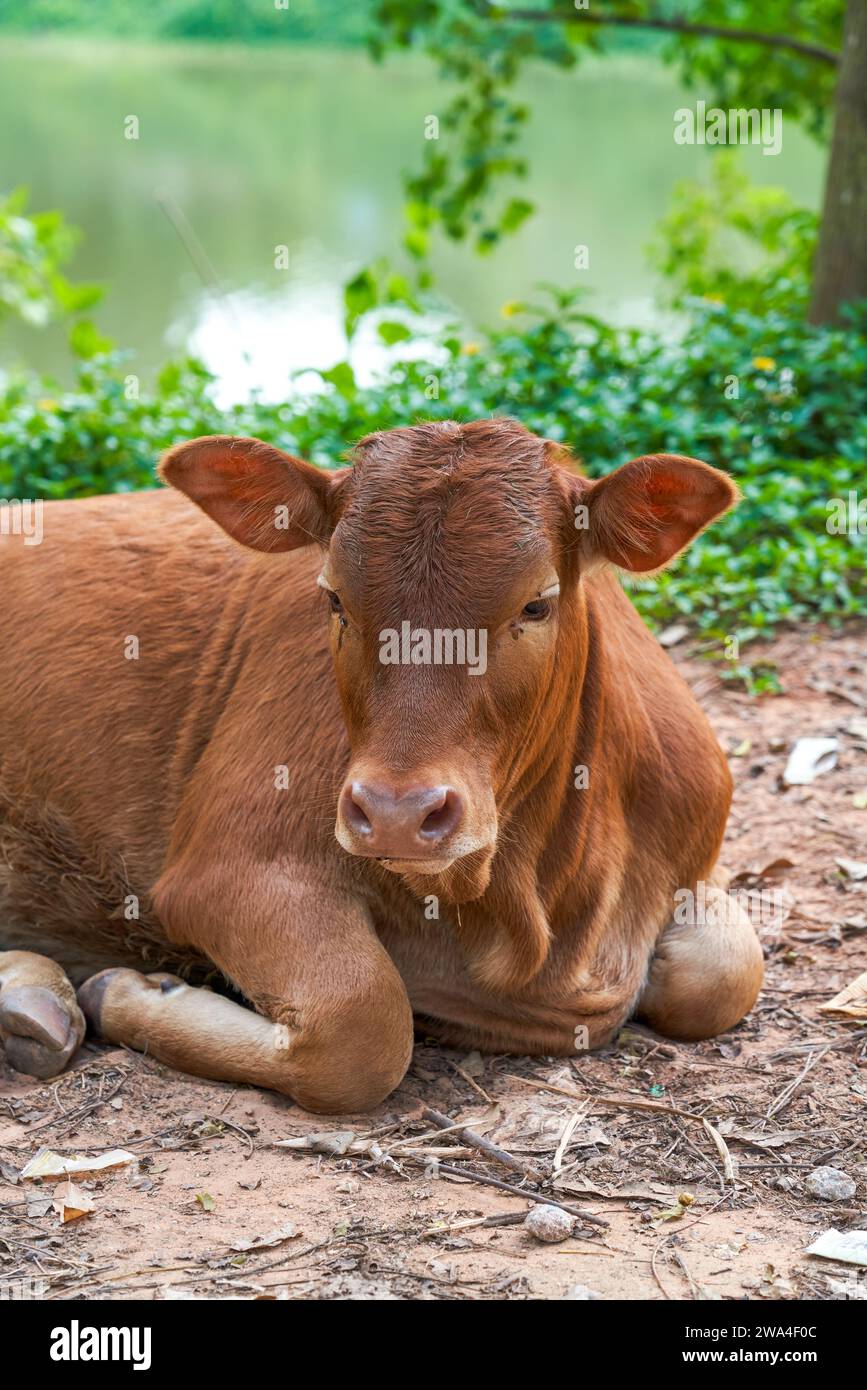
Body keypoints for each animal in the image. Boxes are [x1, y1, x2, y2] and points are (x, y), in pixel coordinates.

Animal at [0, 420, 763, 1112]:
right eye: (333, 598)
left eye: (536, 603)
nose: (396, 814)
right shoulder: (224, 870)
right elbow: (362, 1029)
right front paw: (128, 990)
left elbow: (727, 974)